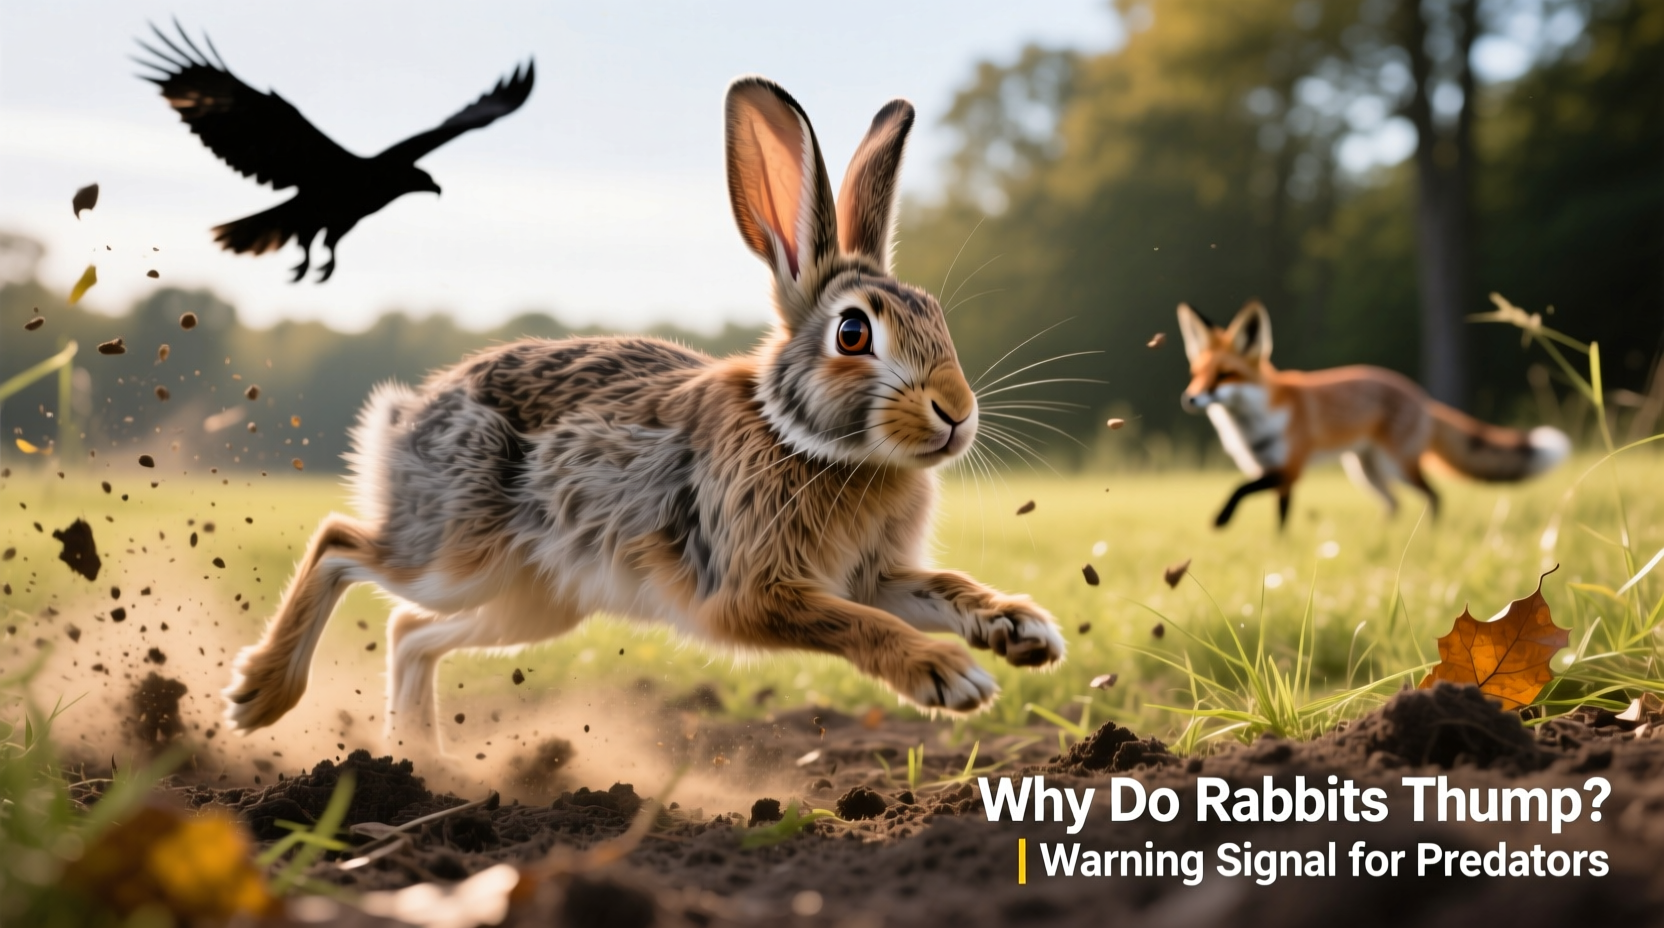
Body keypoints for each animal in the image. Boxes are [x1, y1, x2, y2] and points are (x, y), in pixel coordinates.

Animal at [221, 76, 1066, 750]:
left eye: (936, 316)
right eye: (854, 333)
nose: (957, 413)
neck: (807, 440)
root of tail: (406, 419)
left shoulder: (871, 574)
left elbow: (939, 587)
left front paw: (1023, 630)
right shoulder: (755, 589)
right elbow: (861, 624)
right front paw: (947, 675)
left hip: (532, 600)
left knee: (408, 633)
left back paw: (419, 760)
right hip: (455, 555)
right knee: (342, 544)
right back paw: (261, 696)